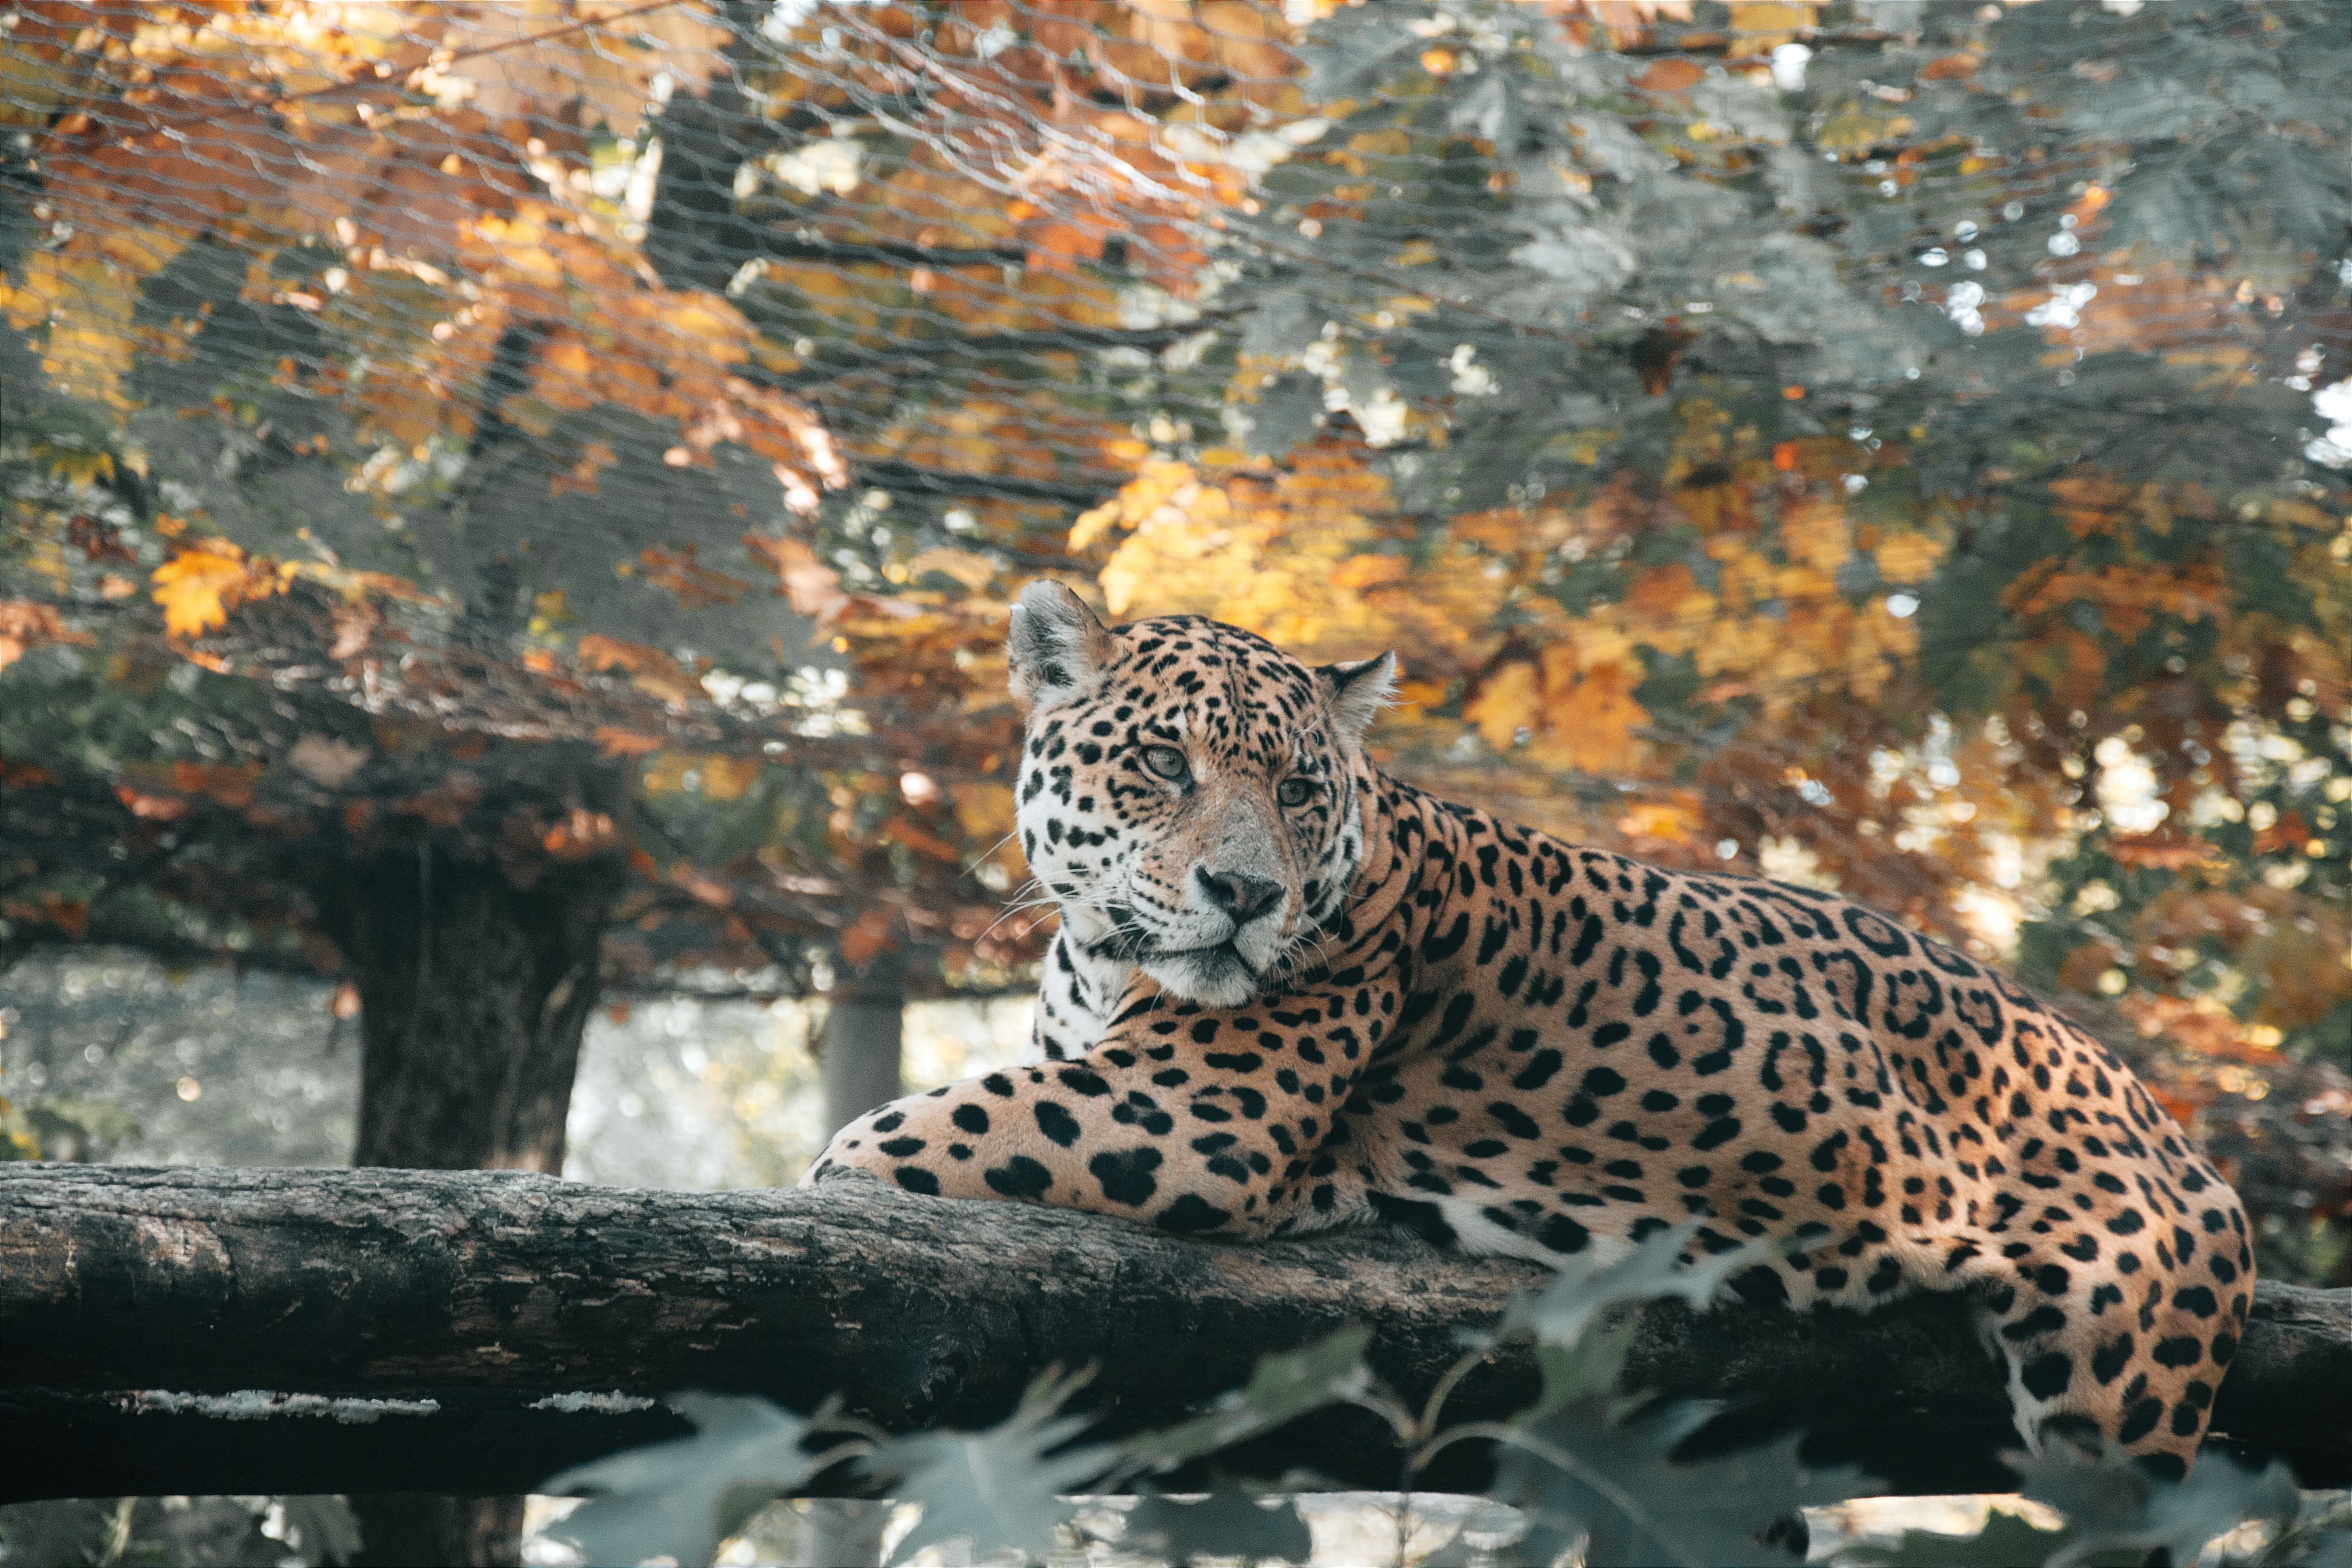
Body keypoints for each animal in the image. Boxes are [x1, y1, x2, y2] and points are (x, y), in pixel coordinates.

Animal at [806, 579, 2254, 1478]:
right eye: (1165, 762)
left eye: (1296, 789)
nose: (1247, 895)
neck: (1103, 958)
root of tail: (2155, 1112)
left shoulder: (1186, 1113)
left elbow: (871, 1146)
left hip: (2121, 1368)